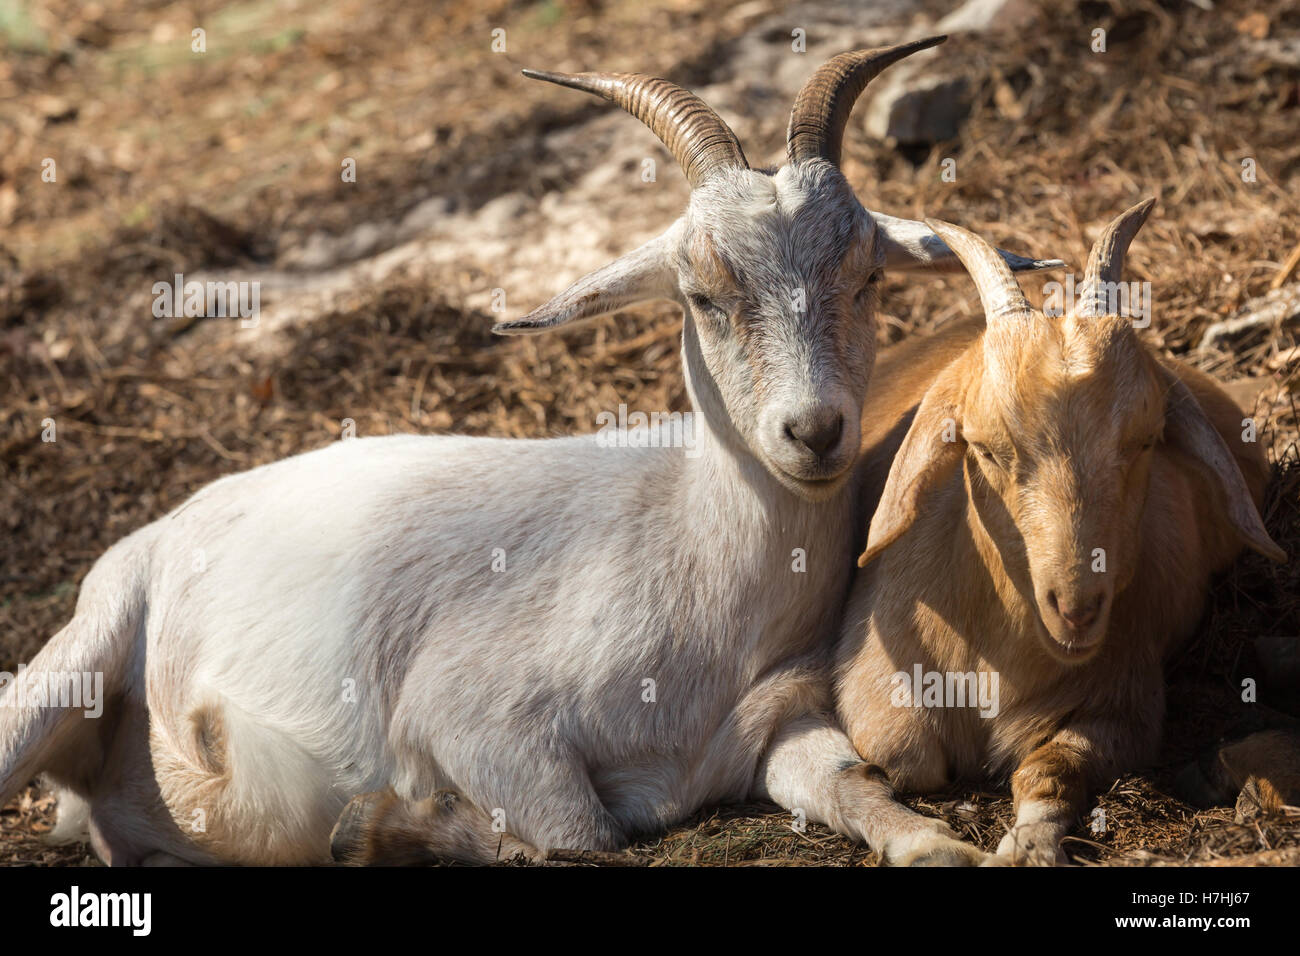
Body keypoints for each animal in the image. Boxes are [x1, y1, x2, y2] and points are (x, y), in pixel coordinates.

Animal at [0, 38, 1060, 865]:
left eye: (868, 276)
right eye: (702, 295)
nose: (816, 430)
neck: (687, 548)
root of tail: (170, 522)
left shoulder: (774, 719)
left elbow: (848, 777)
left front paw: (941, 844)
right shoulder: (470, 716)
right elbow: (574, 832)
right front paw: (378, 827)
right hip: (76, 655)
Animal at [835, 199, 1286, 865]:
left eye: (1145, 441)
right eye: (984, 449)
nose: (1076, 608)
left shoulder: (1124, 700)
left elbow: (1054, 769)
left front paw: (1029, 845)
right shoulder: (872, 682)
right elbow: (906, 755)